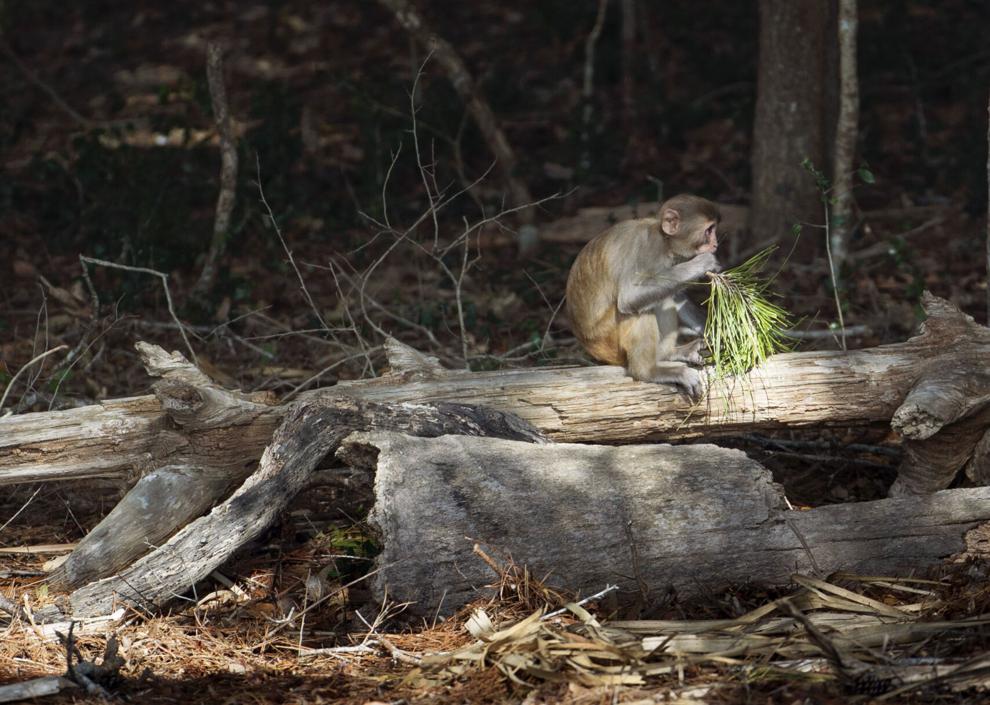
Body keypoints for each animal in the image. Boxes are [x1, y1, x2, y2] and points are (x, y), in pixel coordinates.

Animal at [565, 194, 721, 398]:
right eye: (709, 231)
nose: (716, 244)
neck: (665, 242)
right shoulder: (648, 248)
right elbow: (630, 297)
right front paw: (702, 264)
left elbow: (677, 295)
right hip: (606, 342)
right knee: (637, 310)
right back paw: (649, 371)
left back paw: (669, 353)